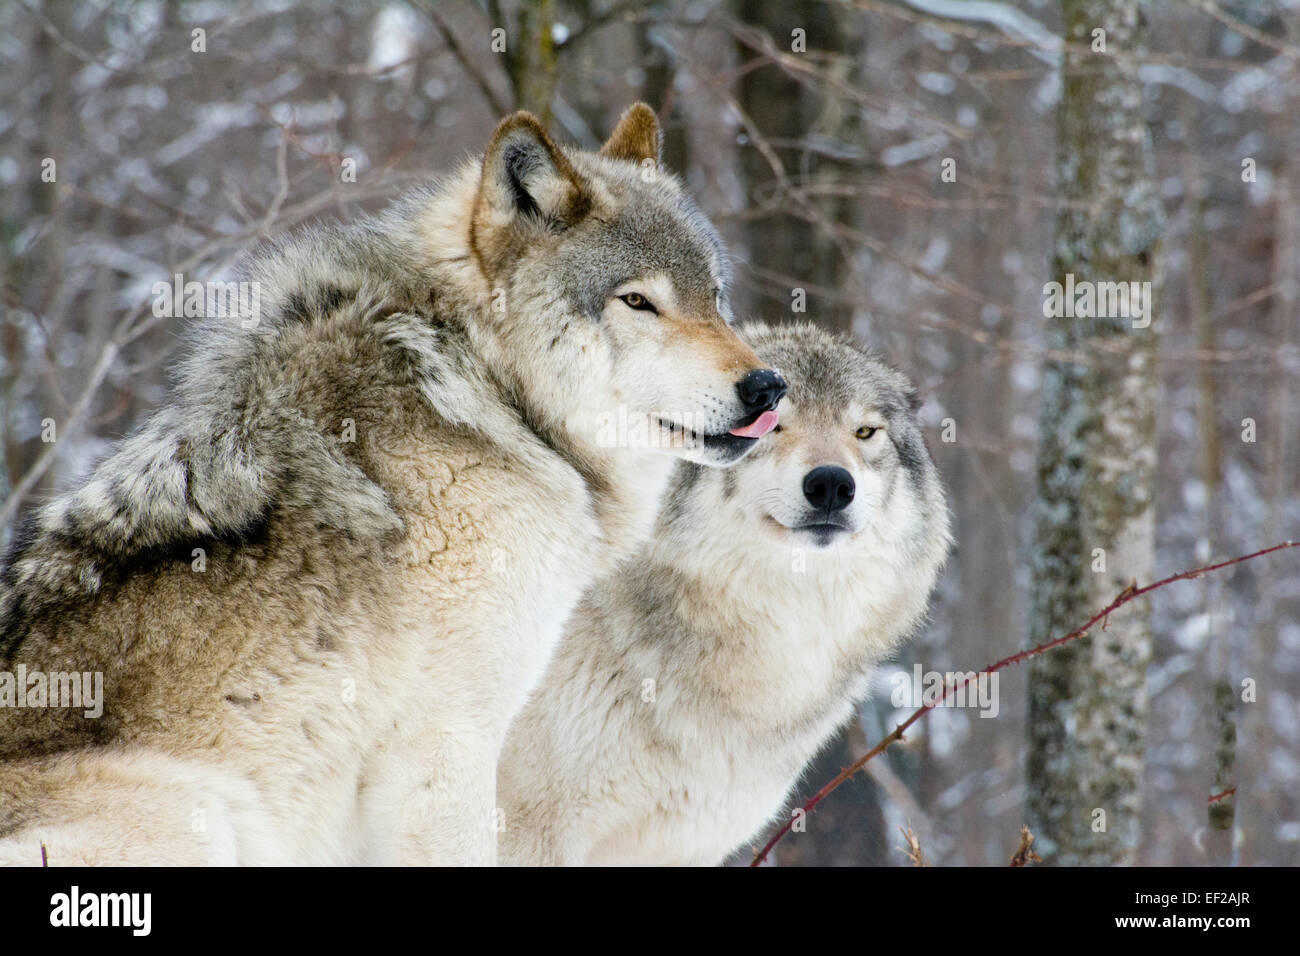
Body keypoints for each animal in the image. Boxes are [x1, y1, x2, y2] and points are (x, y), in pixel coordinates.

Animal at [0, 104, 785, 866]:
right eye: (638, 302)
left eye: (715, 297)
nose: (768, 387)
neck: (490, 393)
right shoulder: (445, 743)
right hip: (199, 813)